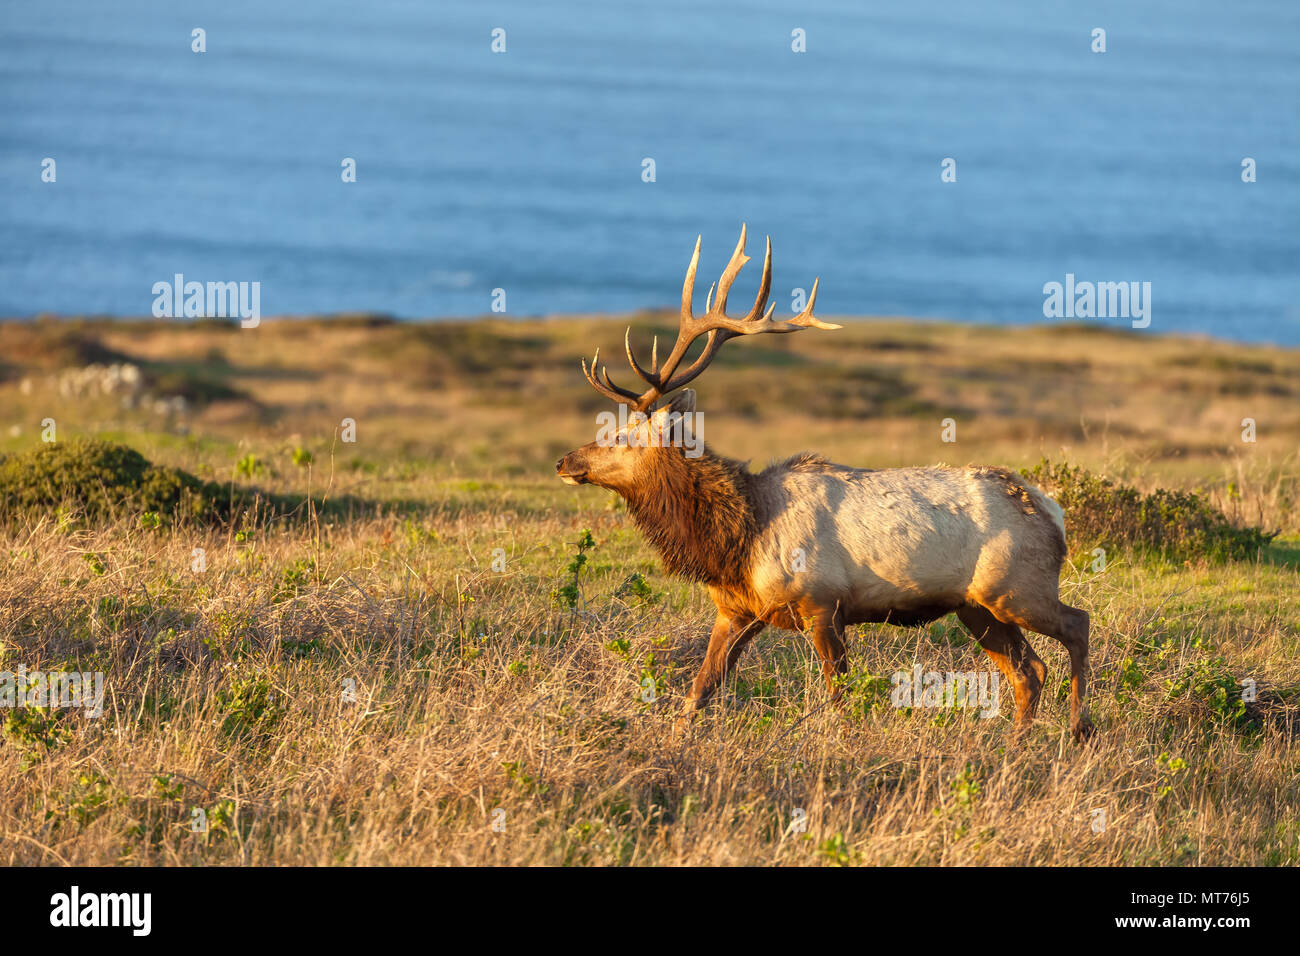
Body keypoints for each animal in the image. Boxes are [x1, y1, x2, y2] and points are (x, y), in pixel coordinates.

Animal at [555, 226, 1094, 743]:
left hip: (1016, 587)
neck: (739, 538)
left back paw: (1079, 728)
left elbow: (842, 698)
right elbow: (699, 691)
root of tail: (1052, 511)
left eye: (621, 435)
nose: (564, 460)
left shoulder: (822, 603)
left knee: (1076, 625)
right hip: (978, 609)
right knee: (1029, 671)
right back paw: (1017, 747)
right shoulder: (737, 611)